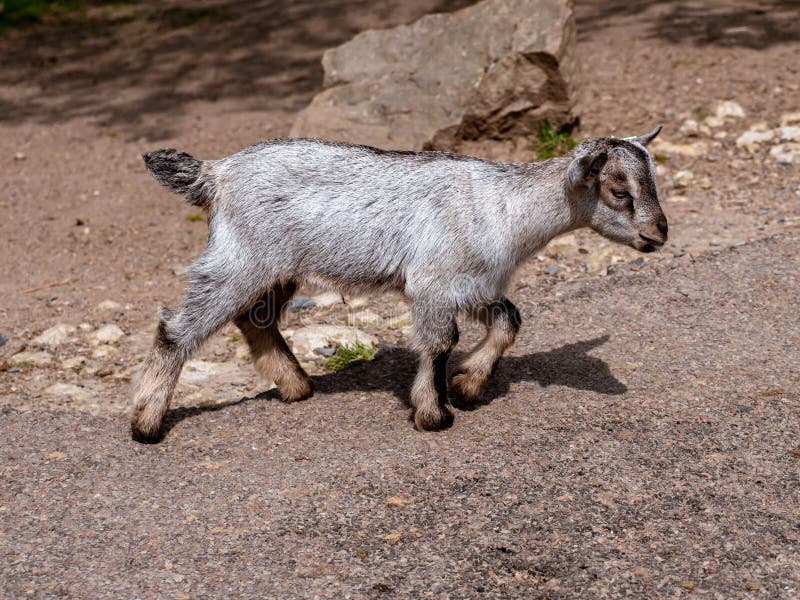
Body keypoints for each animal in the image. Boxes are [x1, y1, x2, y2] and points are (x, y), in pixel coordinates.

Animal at [131, 128, 667, 442]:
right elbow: (439, 342)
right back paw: (147, 421)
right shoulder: (433, 284)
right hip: (239, 259)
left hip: (277, 269)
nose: (659, 233)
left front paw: (468, 385)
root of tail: (214, 173)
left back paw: (297, 386)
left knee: (255, 319)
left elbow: (509, 321)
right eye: (619, 191)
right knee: (178, 328)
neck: (504, 209)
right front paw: (434, 413)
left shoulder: (472, 284)